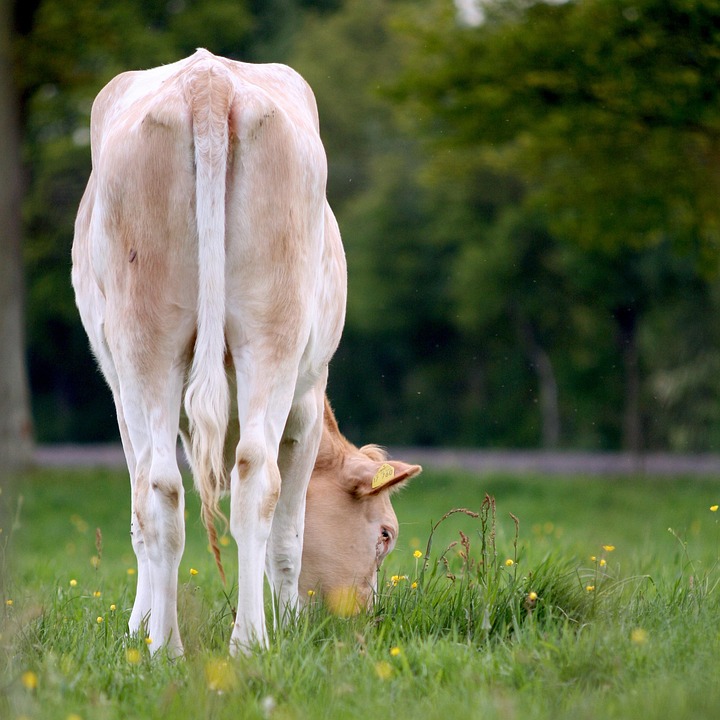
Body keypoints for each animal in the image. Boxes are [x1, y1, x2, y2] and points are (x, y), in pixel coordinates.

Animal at [71, 49, 418, 657]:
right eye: (384, 534)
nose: (364, 621)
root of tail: (208, 81)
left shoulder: (129, 396)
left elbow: (143, 508)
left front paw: (139, 628)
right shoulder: (307, 401)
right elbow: (290, 530)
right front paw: (290, 623)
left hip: (149, 344)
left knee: (165, 487)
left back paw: (169, 647)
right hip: (270, 339)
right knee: (259, 483)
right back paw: (251, 640)